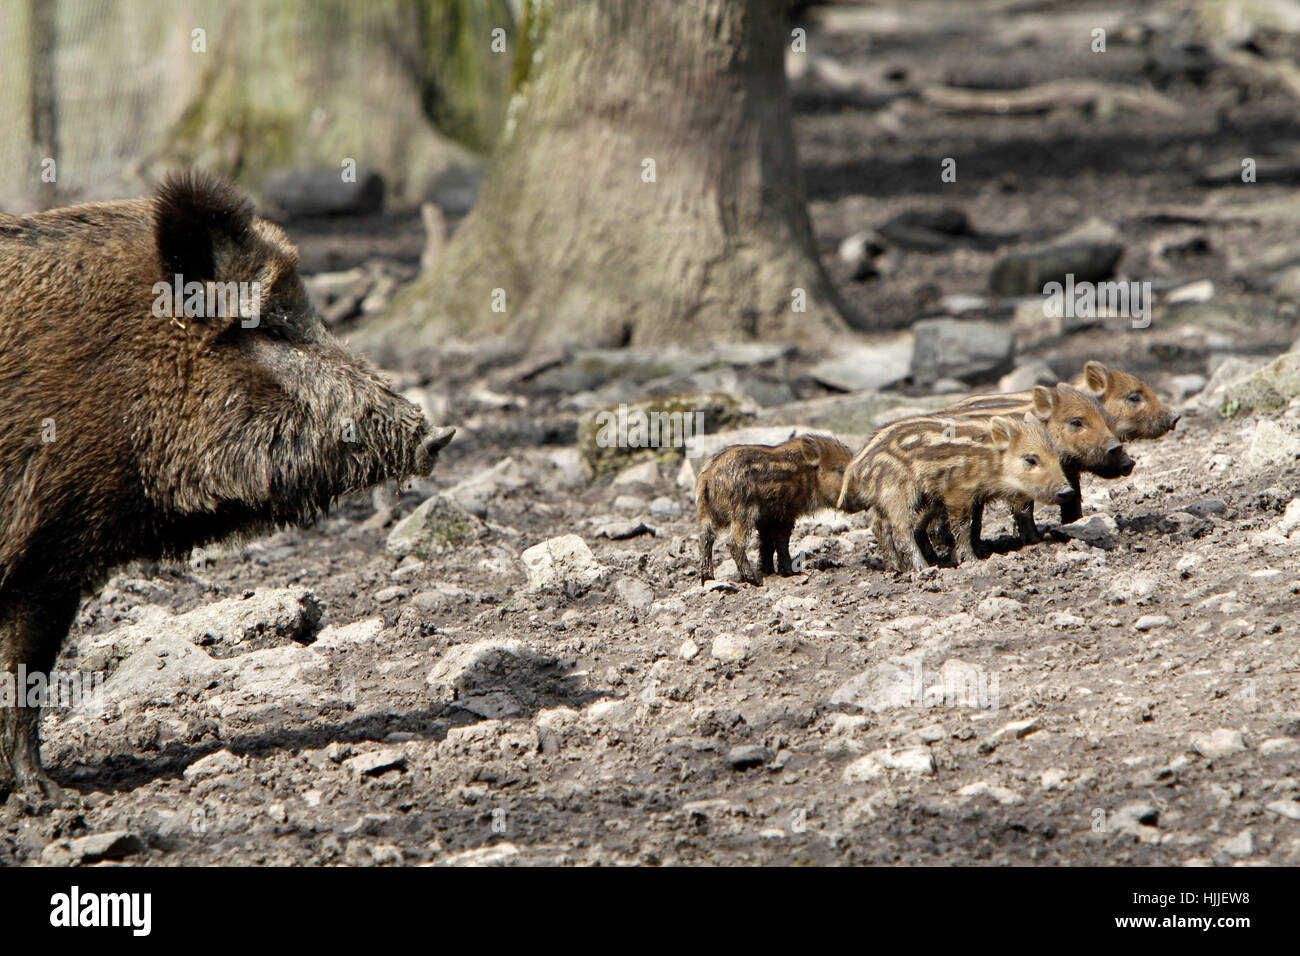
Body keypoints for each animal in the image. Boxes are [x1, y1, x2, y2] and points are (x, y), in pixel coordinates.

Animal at [696, 433, 852, 585]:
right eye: (840, 470)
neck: (804, 474)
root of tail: (708, 476)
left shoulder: (766, 518)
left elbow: (767, 543)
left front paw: (768, 571)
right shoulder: (785, 514)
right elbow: (782, 542)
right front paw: (791, 573)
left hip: (706, 512)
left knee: (705, 538)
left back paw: (707, 578)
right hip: (742, 510)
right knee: (733, 542)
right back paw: (753, 579)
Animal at [837, 414, 1073, 571]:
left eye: (1056, 457)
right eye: (1030, 459)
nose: (1067, 491)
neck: (989, 459)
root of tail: (856, 467)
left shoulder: (976, 497)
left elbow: (977, 524)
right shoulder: (957, 492)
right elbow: (963, 526)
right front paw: (972, 560)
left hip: (887, 499)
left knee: (881, 527)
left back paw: (895, 568)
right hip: (897, 492)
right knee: (901, 531)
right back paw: (924, 569)